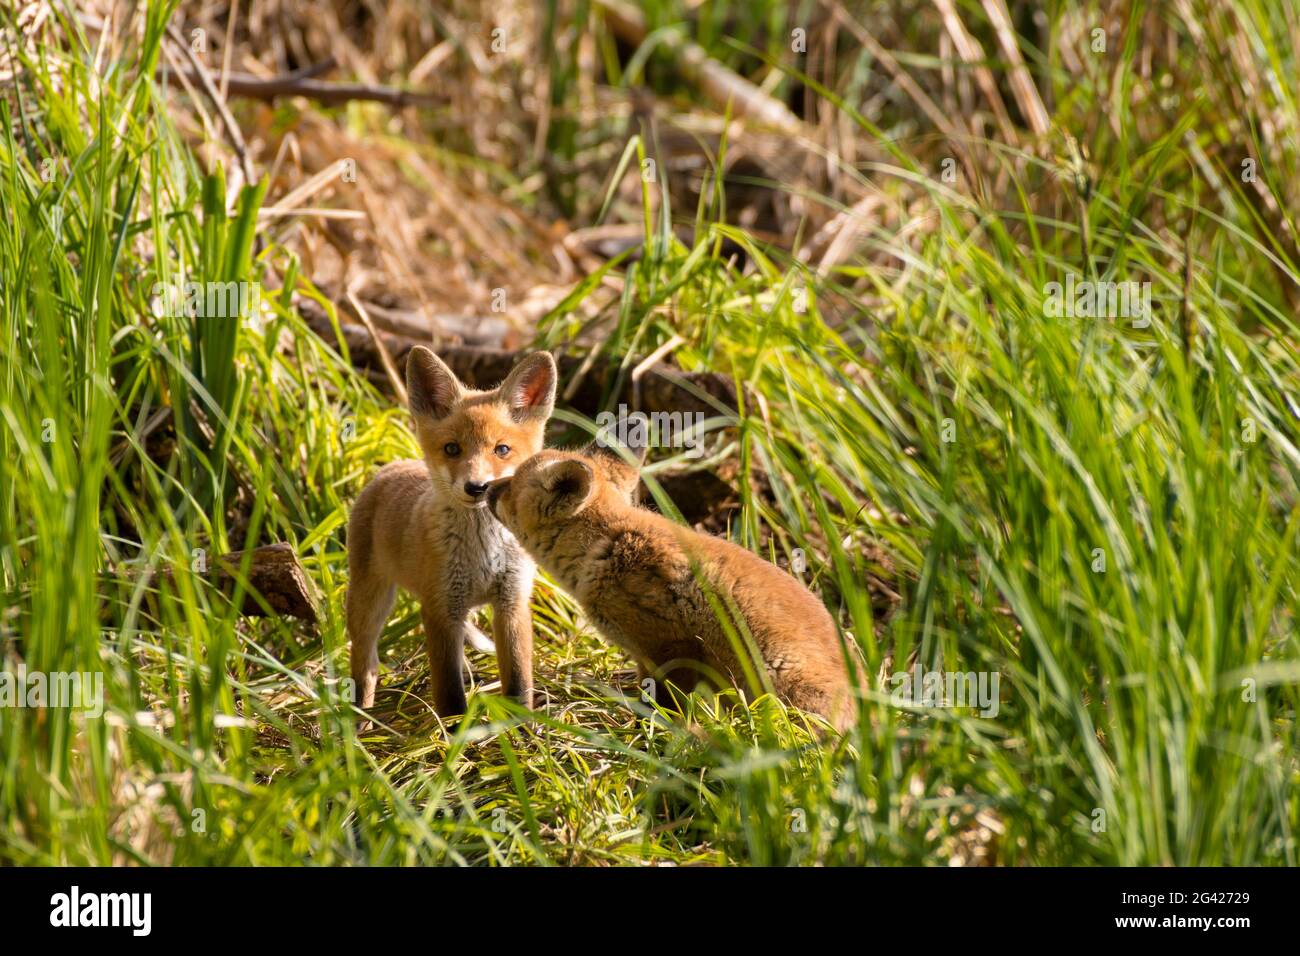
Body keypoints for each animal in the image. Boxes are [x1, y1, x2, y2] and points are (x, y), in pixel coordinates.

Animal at [345, 346, 557, 718]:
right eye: (452, 449)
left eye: (502, 449)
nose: (477, 487)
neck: (484, 550)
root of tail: (390, 467)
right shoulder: (441, 610)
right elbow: (449, 694)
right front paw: (452, 731)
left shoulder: (511, 602)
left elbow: (518, 683)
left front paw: (521, 728)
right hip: (370, 602)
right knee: (366, 665)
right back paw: (361, 720)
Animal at [485, 444, 855, 730]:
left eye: (509, 485)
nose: (482, 487)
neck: (606, 546)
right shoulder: (644, 656)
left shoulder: (672, 646)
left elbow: (663, 707)